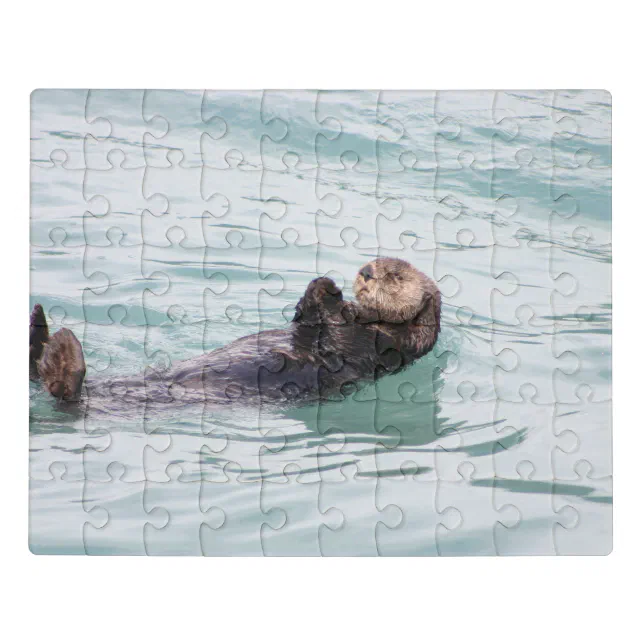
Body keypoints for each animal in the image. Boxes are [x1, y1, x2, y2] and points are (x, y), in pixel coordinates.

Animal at [29, 258, 441, 406]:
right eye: (371, 262)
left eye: (396, 275)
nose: (365, 273)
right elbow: (304, 322)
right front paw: (322, 288)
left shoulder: (386, 346)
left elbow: (343, 340)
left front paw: (334, 297)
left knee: (66, 393)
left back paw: (60, 353)